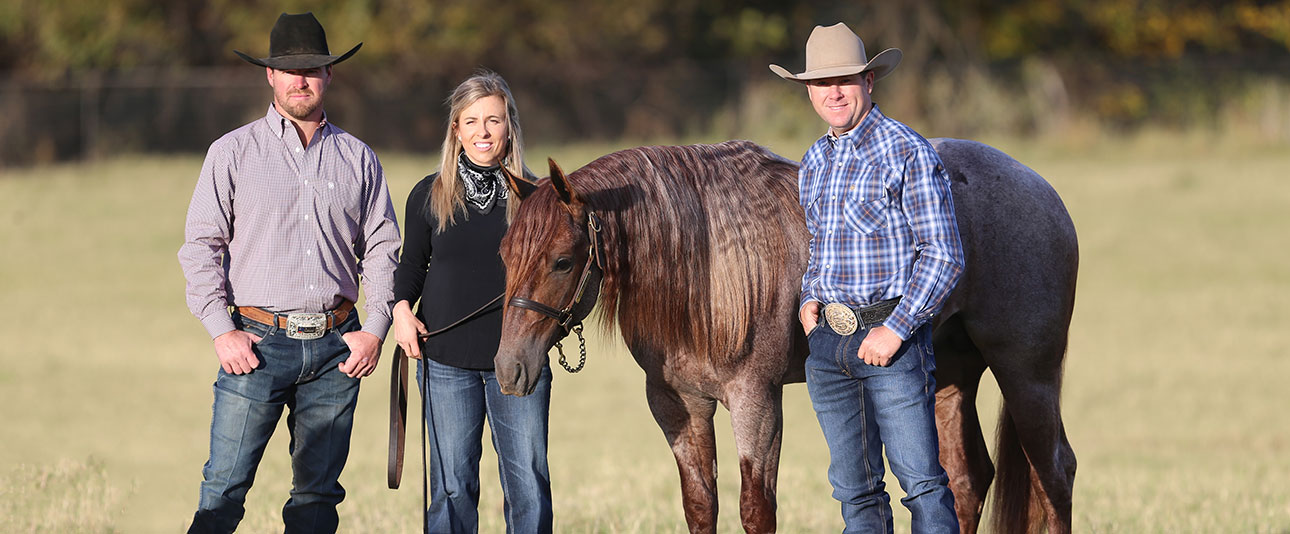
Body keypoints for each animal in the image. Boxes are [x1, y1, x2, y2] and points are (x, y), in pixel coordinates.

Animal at [493, 139, 1078, 534]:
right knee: (965, 478)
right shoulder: (678, 403)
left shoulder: (756, 399)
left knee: (1054, 474)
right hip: (950, 380)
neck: (708, 269)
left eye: (562, 261)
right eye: (503, 254)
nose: (507, 369)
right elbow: (701, 505)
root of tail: (1040, 187)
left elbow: (757, 507)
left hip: (1028, 377)